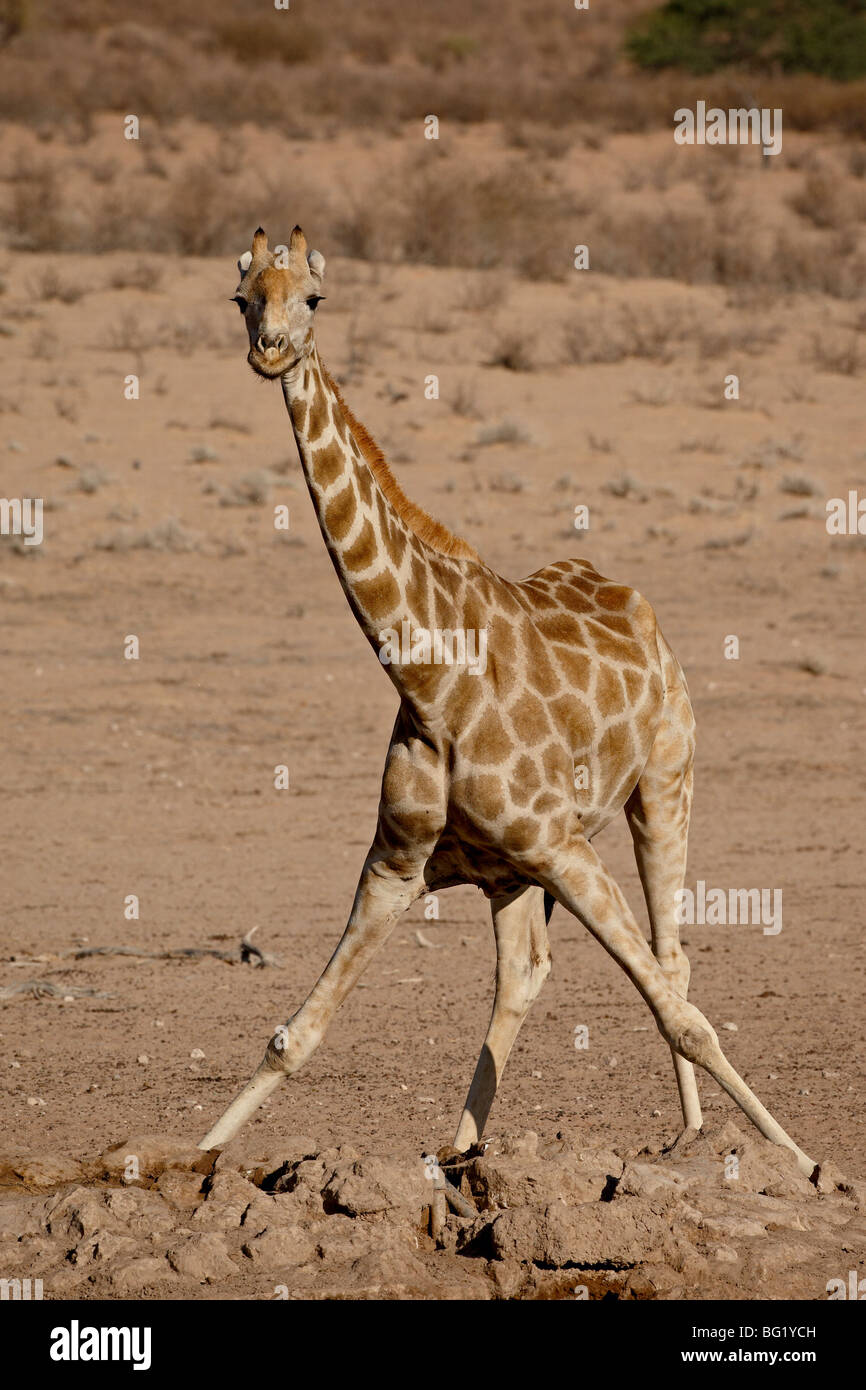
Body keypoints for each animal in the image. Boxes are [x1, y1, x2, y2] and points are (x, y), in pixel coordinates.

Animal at [198, 227, 817, 1180]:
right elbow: (294, 1035)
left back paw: (690, 1134)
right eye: (242, 298)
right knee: (526, 975)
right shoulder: (400, 863)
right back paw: (463, 1157)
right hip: (511, 876)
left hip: (663, 786)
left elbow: (681, 1015)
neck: (428, 680)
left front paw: (807, 1166)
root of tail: (630, 592)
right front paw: (184, 1164)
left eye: (313, 298)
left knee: (673, 962)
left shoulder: (562, 844)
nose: (270, 351)